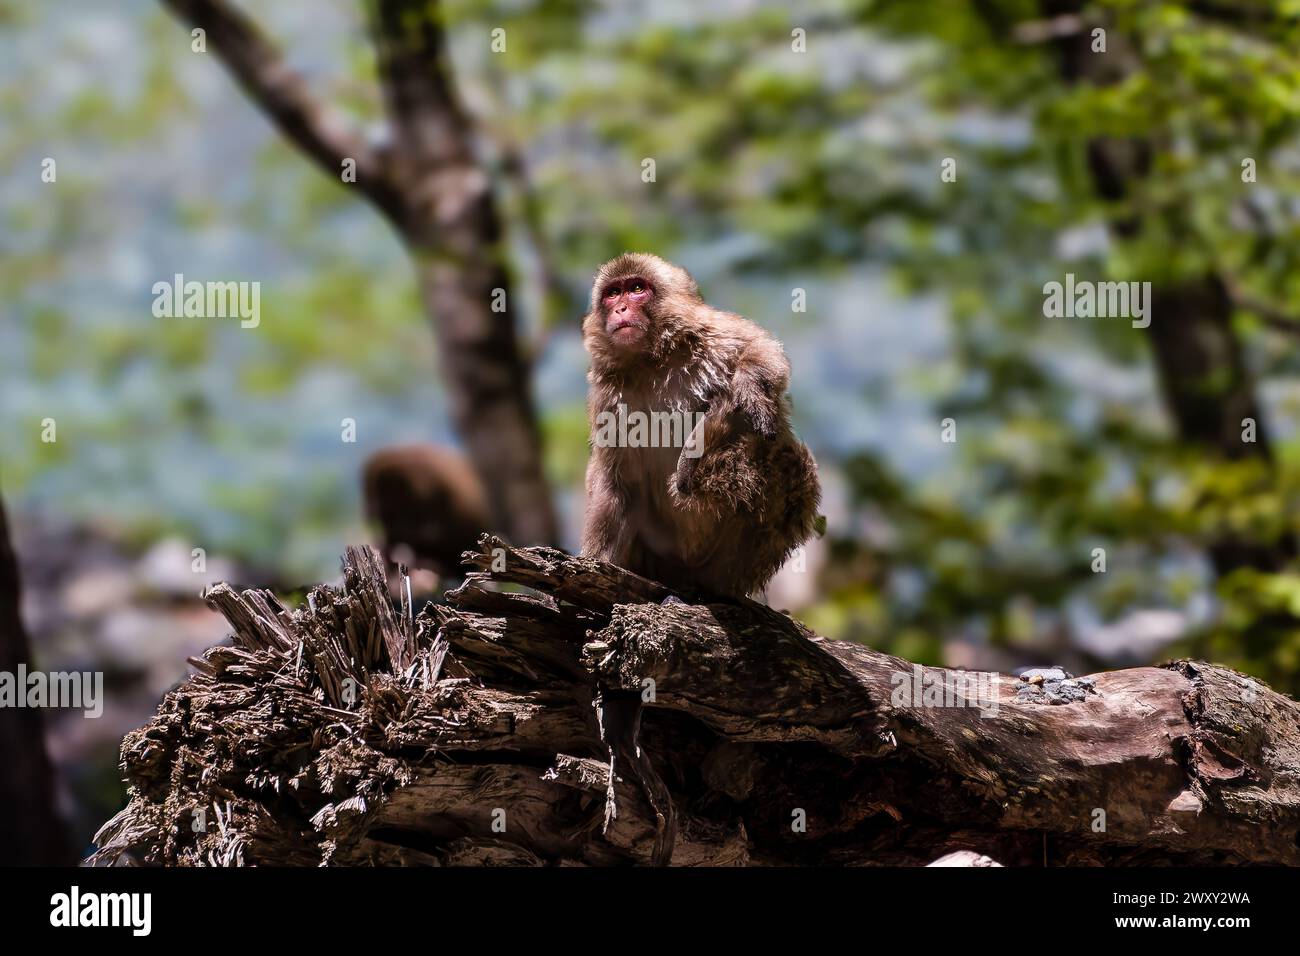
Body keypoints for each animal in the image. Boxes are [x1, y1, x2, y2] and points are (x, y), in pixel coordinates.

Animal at [579, 252, 821, 599]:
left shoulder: (708, 332)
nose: (621, 309)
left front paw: (748, 387)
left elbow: (763, 350)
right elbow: (617, 483)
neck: (652, 361)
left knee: (786, 459)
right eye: (613, 293)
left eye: (637, 288)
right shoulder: (606, 396)